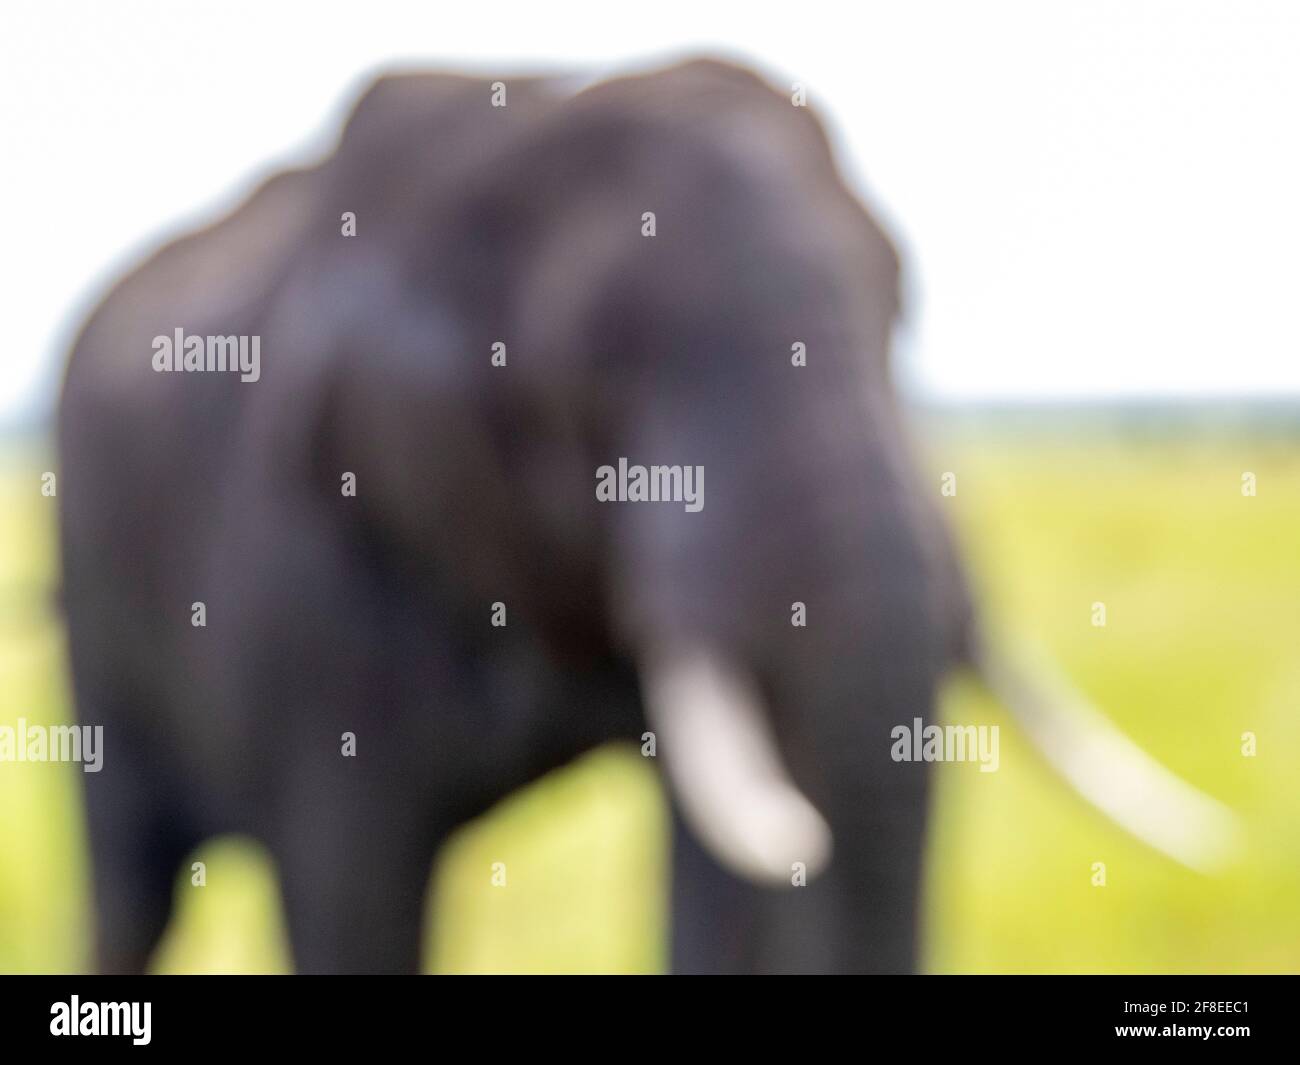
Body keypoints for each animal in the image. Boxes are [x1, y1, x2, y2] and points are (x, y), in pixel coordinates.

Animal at [57, 58, 1235, 974]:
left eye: (898, 314)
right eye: (596, 373)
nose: (811, 831)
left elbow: (718, 880)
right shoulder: (310, 546)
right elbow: (355, 888)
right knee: (133, 892)